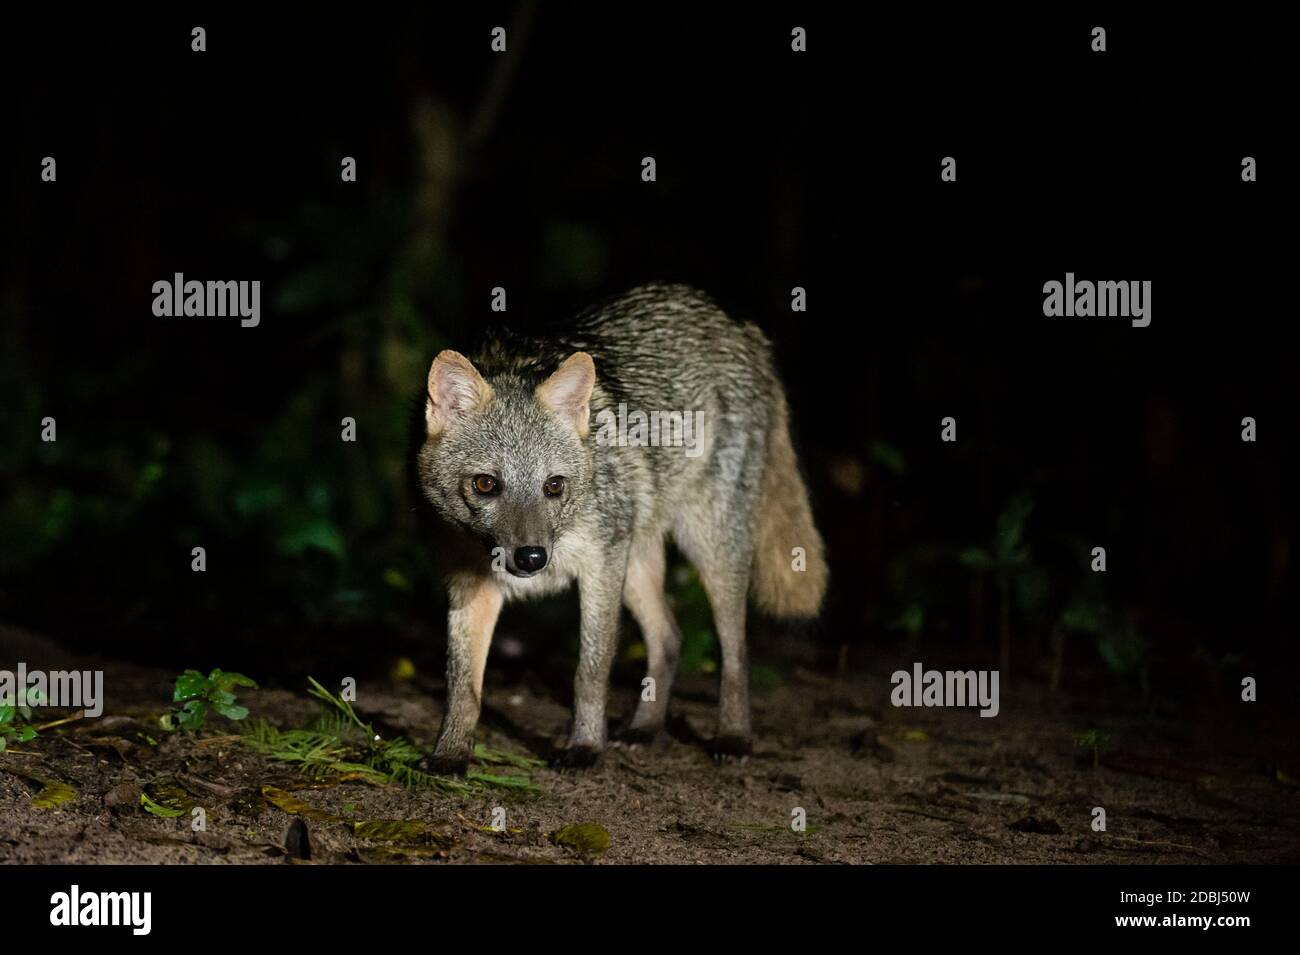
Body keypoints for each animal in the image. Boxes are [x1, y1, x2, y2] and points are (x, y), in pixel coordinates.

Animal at [415, 283, 827, 771]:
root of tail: (738, 325)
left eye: (553, 486)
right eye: (485, 484)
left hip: (708, 549)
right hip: (637, 564)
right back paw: (644, 729)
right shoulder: (469, 584)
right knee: (670, 637)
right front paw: (450, 754)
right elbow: (462, 688)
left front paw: (585, 747)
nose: (531, 558)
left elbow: (590, 672)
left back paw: (733, 737)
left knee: (735, 651)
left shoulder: (600, 565)